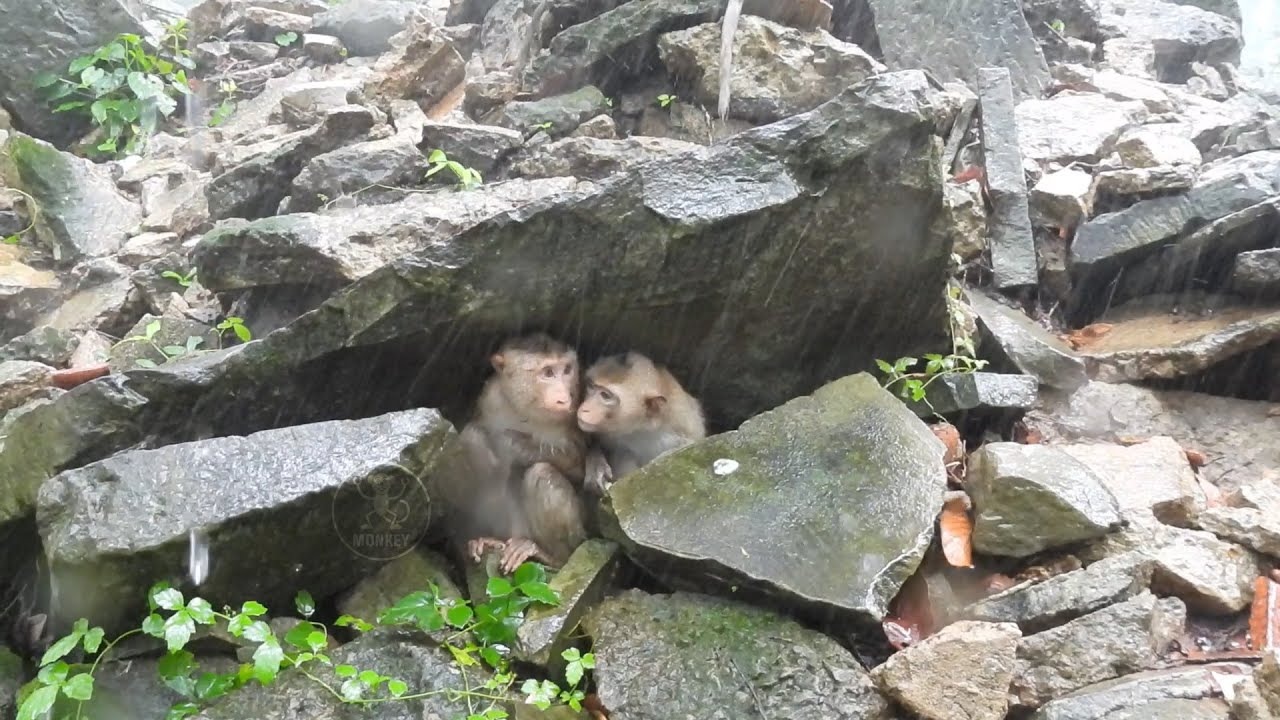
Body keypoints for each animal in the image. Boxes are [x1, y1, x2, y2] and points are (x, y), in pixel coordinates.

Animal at [444, 333, 589, 574]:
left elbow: (580, 468)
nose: (563, 398)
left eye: (567, 370)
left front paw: (512, 444)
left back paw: (546, 554)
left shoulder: (576, 414)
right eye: (548, 372)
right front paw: (476, 439)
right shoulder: (490, 396)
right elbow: (472, 434)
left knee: (541, 474)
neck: (526, 412)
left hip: (580, 537)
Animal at [576, 352, 707, 495]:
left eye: (605, 395)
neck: (639, 428)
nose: (584, 409)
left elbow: (689, 445)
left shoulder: (681, 424)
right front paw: (596, 465)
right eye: (591, 386)